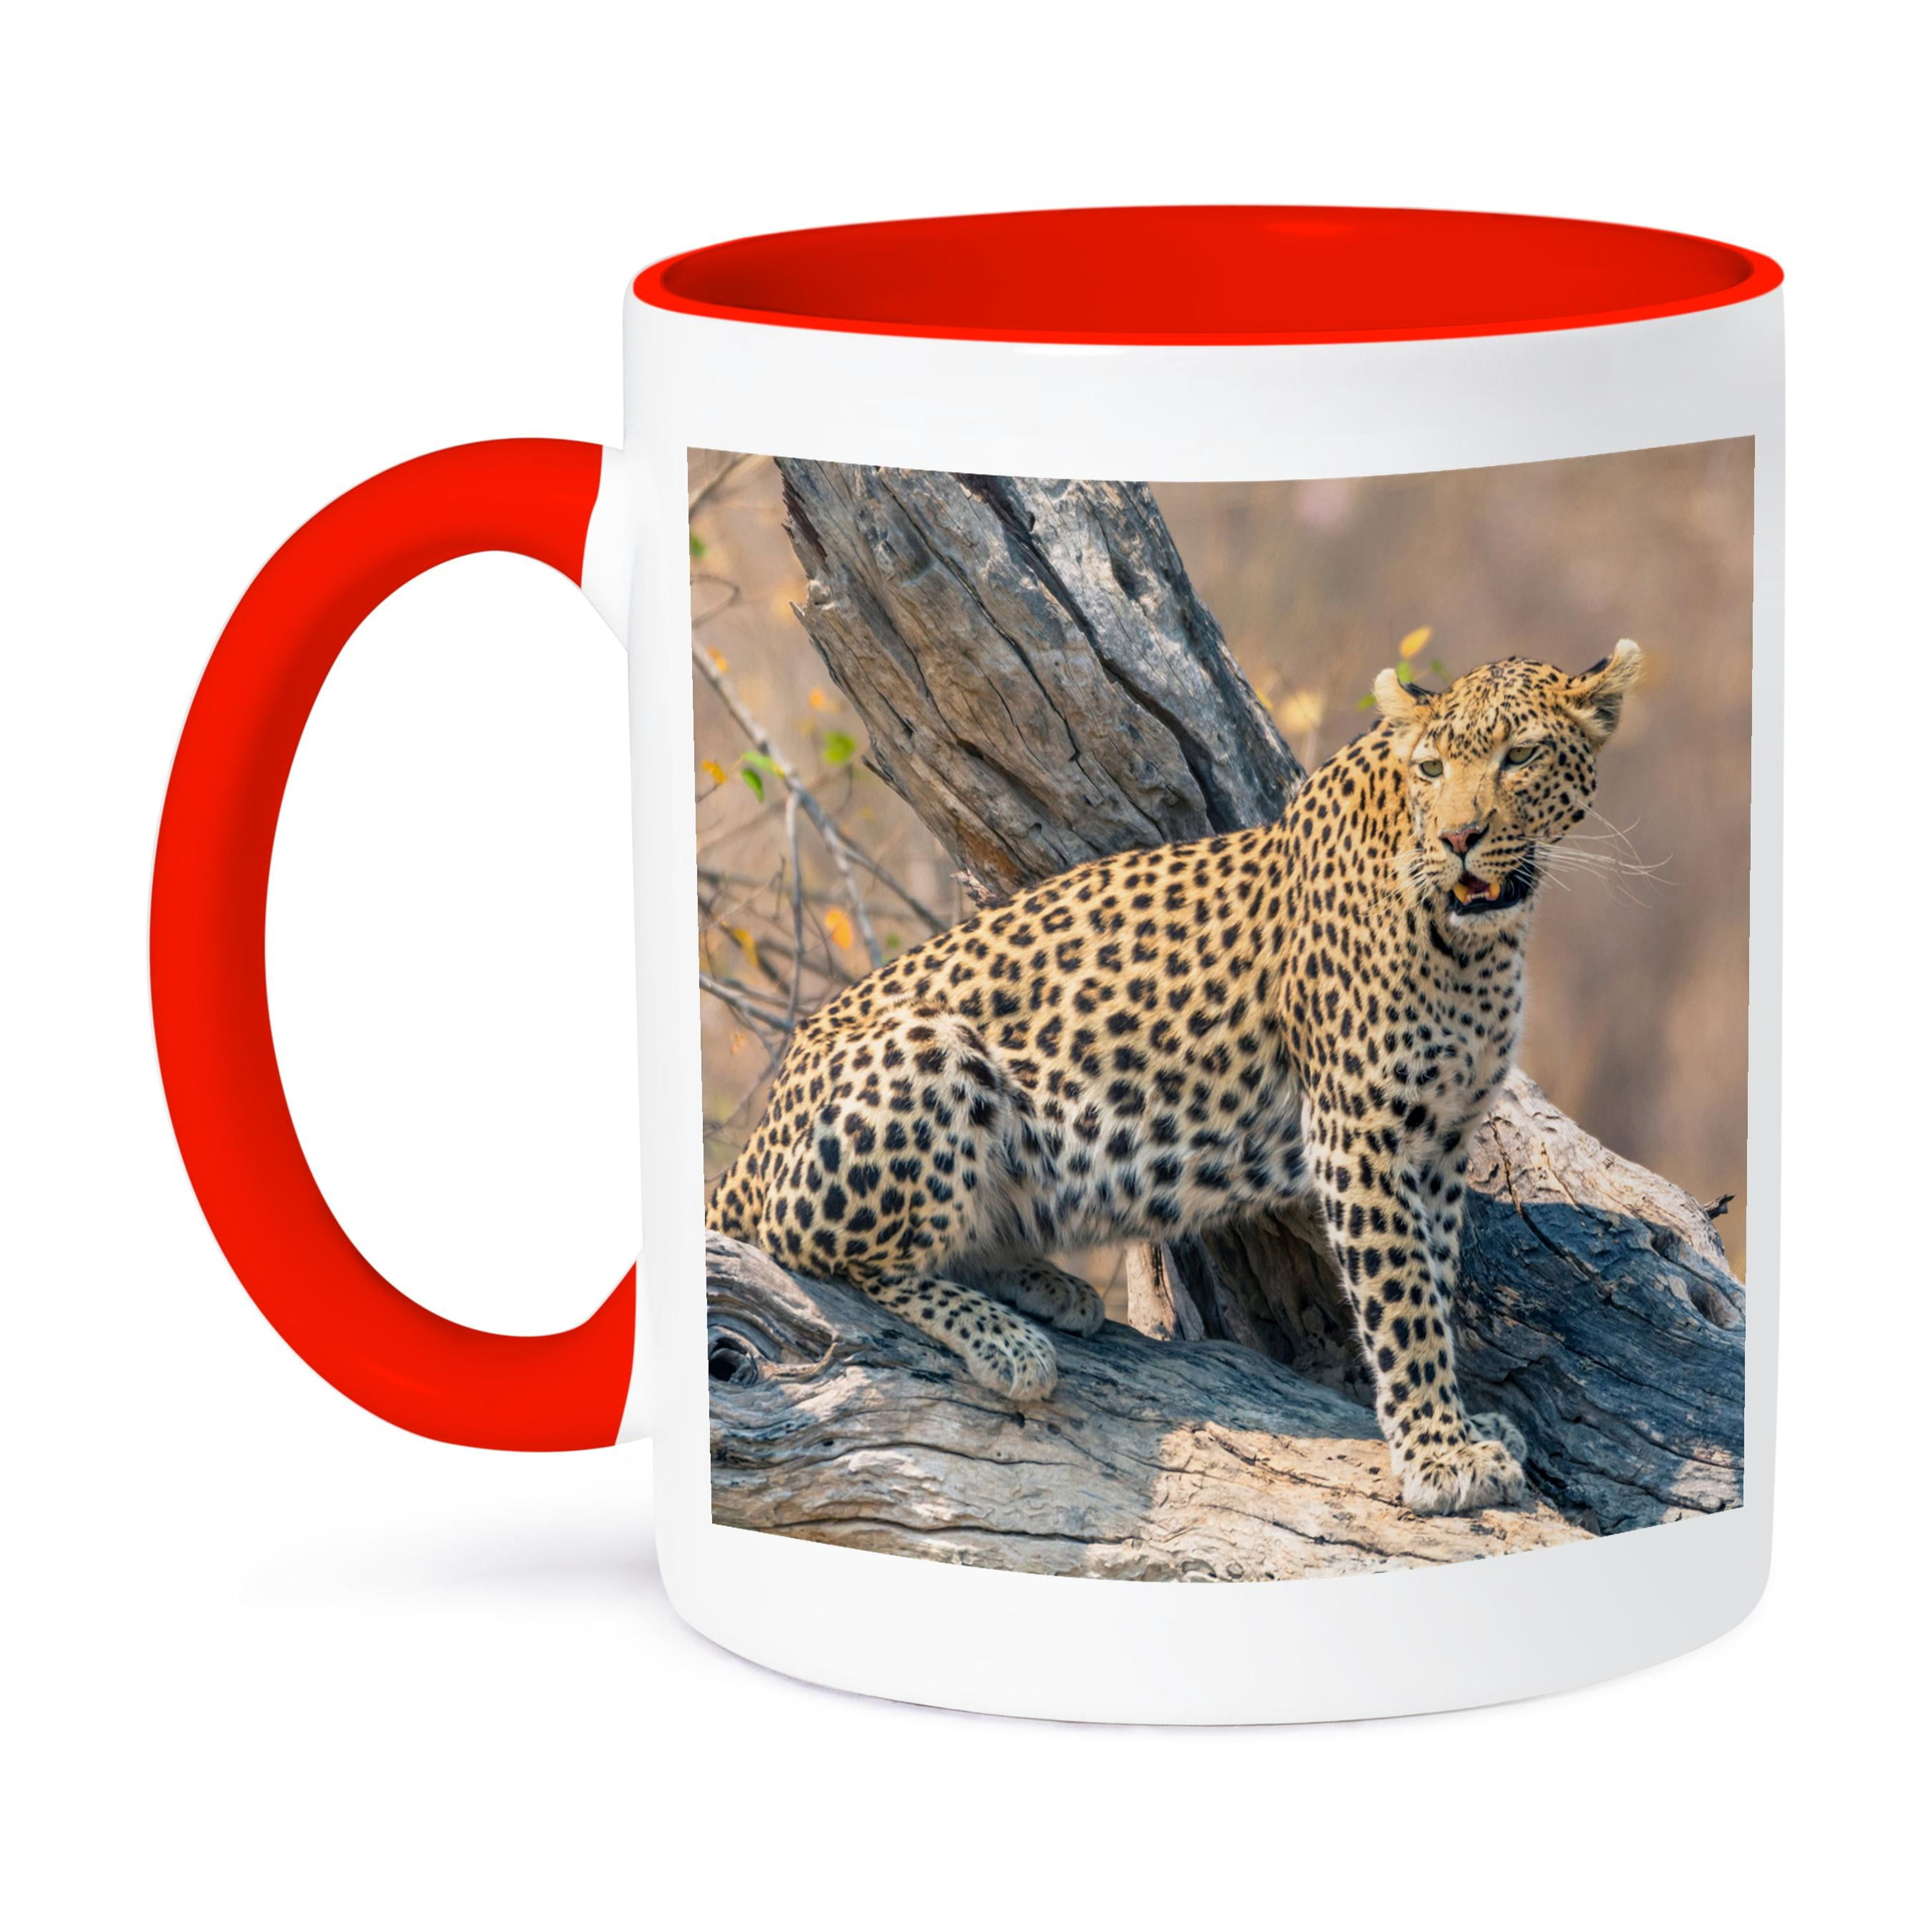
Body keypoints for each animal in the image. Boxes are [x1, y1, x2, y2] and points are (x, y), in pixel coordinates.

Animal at [707, 641, 1644, 1515]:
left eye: (1521, 757)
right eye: (1432, 769)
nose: (1459, 840)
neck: (1480, 946)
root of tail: (749, 1152)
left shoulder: (1442, 1137)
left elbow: (1437, 1281)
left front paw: (1460, 1424)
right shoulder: (1361, 1134)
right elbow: (1401, 1296)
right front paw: (1440, 1455)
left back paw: (1045, 1288)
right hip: (928, 1050)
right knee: (822, 1249)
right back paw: (1008, 1345)